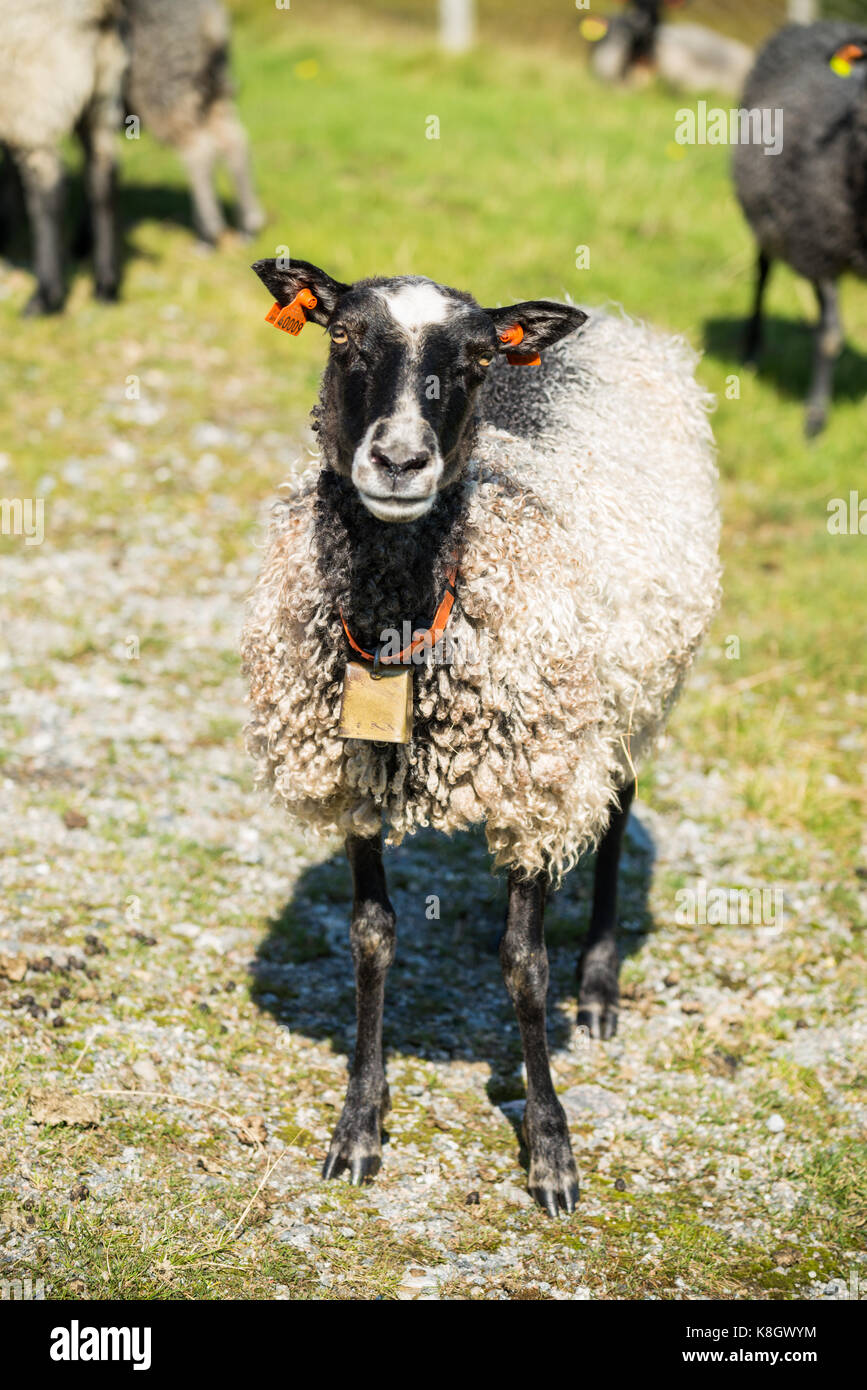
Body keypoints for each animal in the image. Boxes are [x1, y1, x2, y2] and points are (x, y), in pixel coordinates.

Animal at [0, 1, 127, 313]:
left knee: (50, 188)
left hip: (31, 97)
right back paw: (106, 285)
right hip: (102, 96)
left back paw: (46, 295)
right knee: (103, 176)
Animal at [124, 0, 264, 245]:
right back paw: (248, 223)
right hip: (216, 87)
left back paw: (208, 232)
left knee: (199, 151)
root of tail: (210, 17)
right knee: (234, 141)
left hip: (164, 85)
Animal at [242, 257, 720, 1215]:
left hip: (622, 700)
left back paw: (599, 984)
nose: (398, 460)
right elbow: (372, 937)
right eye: (341, 337)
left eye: (473, 363)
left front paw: (551, 1153)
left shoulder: (535, 777)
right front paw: (360, 1122)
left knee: (618, 806)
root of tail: (609, 318)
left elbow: (523, 967)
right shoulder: (357, 779)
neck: (402, 616)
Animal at [733, 21, 867, 437]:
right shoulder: (817, 245)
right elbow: (829, 336)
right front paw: (815, 418)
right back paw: (751, 351)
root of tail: (821, 25)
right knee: (762, 273)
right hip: (770, 219)